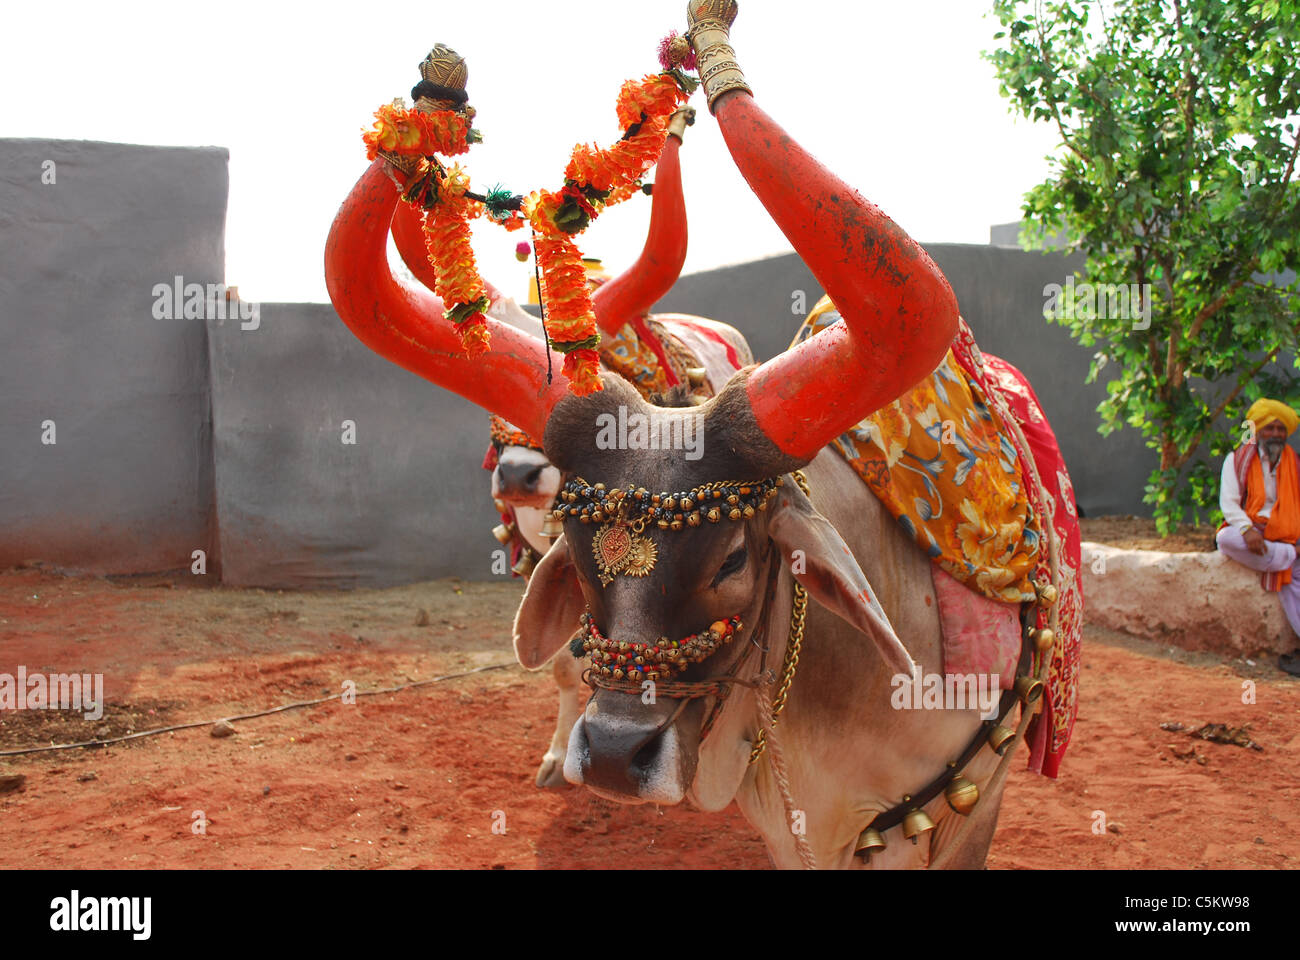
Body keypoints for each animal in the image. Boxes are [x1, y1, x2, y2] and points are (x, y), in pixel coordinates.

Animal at [325, 1, 1069, 868]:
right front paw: (556, 754)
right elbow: (563, 668)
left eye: (735, 559)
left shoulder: (967, 810)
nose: (615, 754)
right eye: (581, 552)